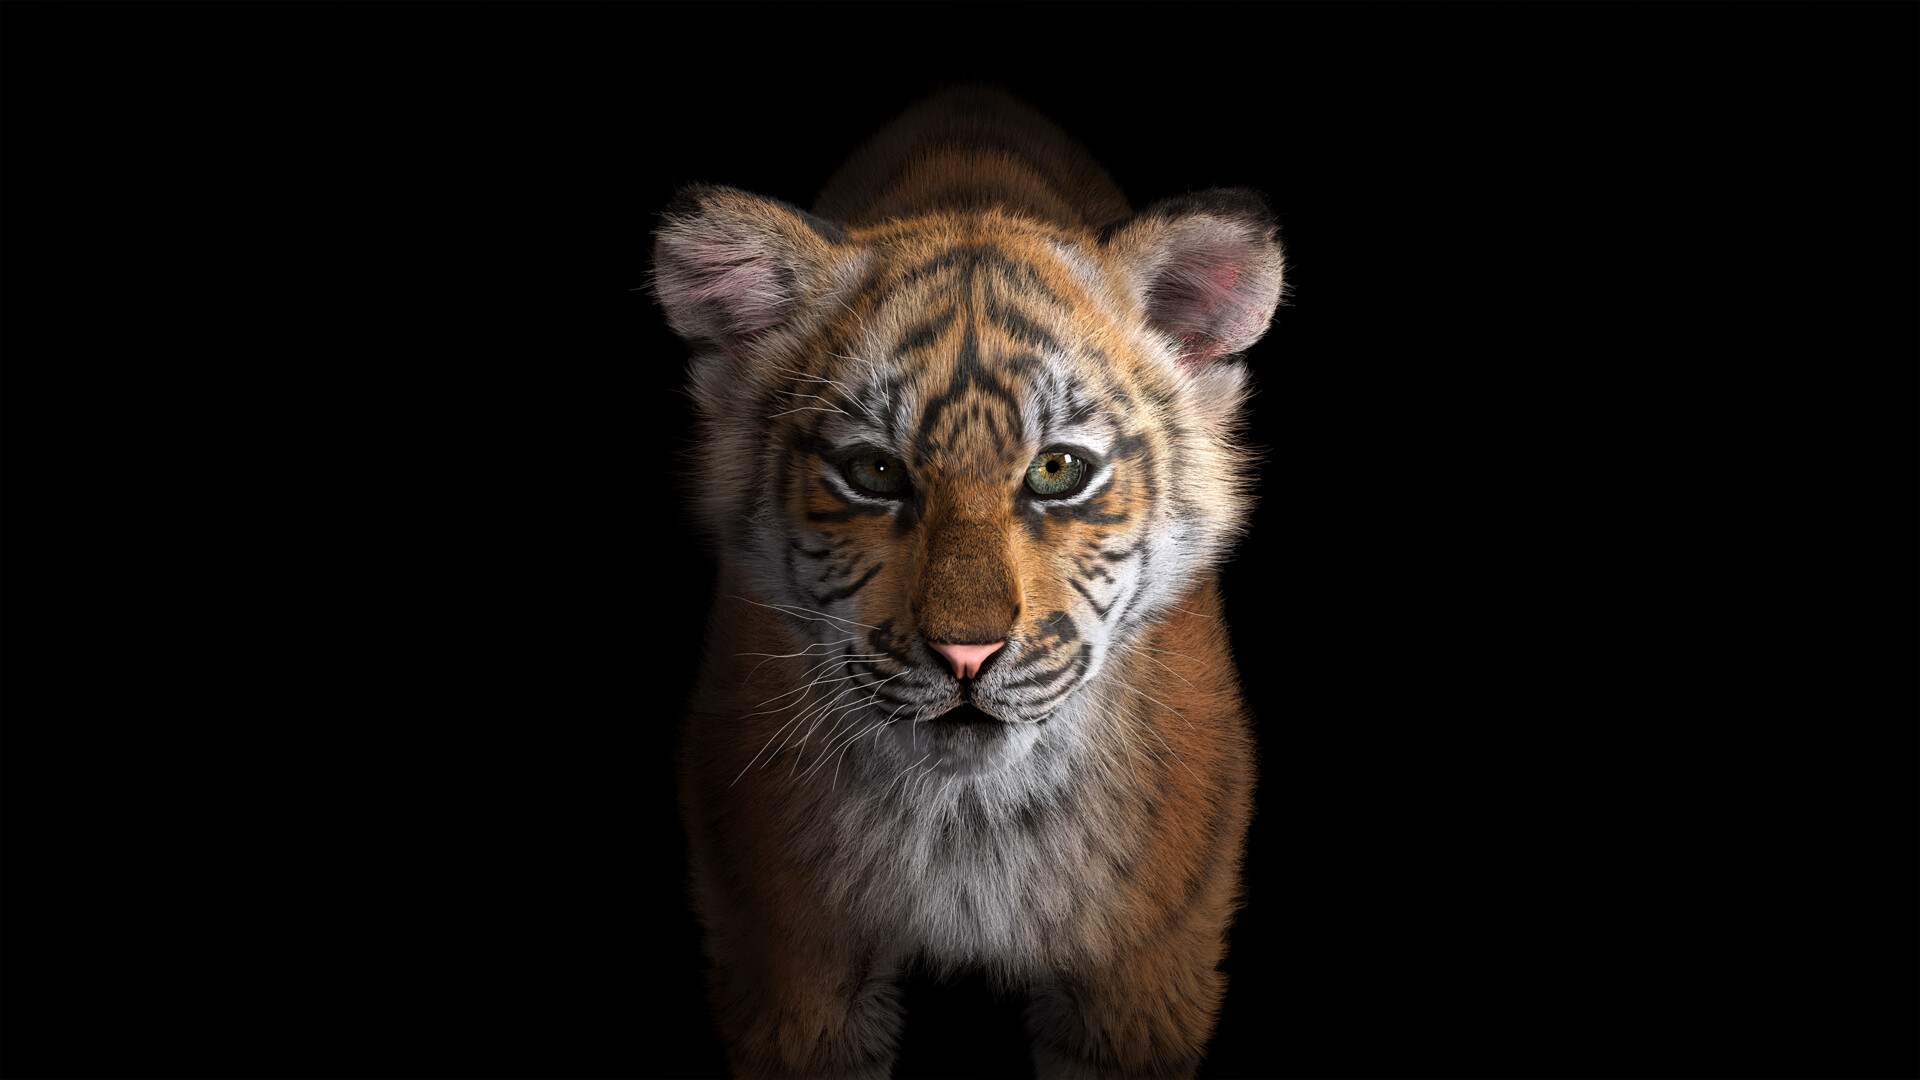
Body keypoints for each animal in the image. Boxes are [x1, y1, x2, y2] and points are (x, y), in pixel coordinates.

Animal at [652, 88, 1284, 1079]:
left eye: (1058, 471)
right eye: (873, 473)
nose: (966, 654)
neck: (965, 820)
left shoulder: (1142, 978)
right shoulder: (788, 973)